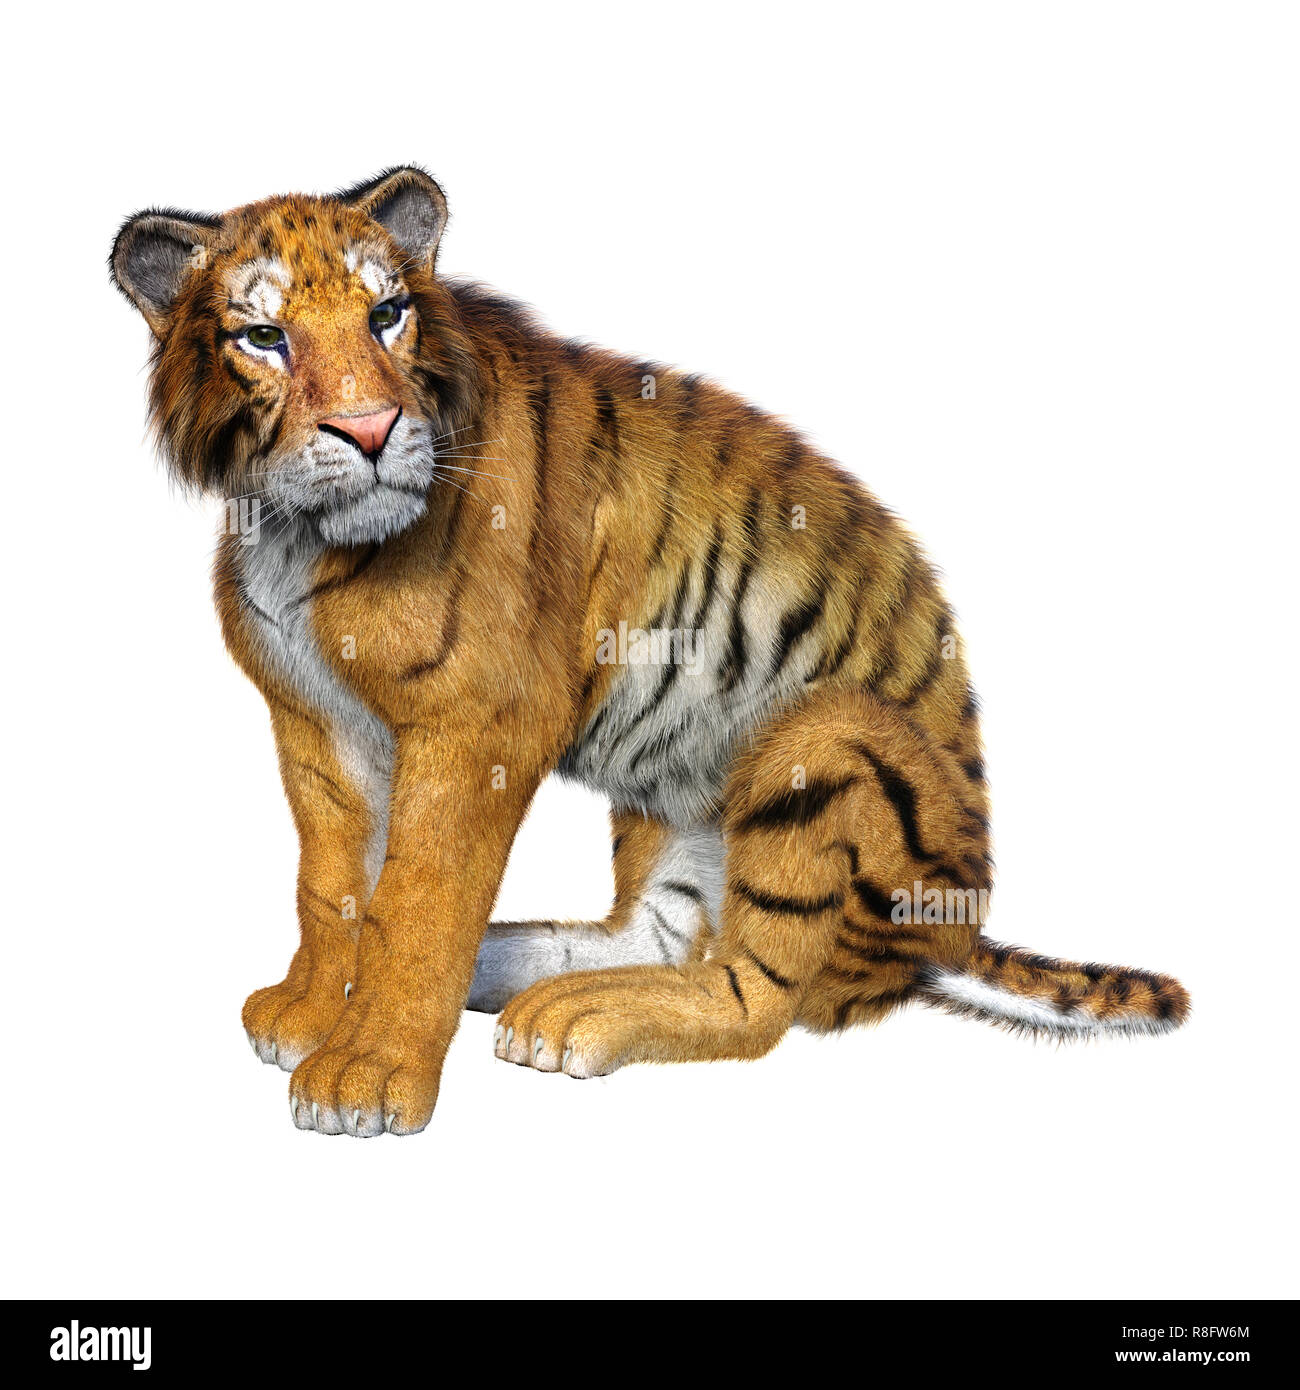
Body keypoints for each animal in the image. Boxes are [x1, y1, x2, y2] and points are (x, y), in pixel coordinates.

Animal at [111, 166, 1190, 1137]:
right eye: (265, 337)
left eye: (386, 316)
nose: (370, 430)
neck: (297, 531)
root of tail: (957, 926)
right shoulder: (316, 722)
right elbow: (333, 883)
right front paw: (308, 1010)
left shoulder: (479, 727)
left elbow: (417, 903)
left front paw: (366, 1075)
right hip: (670, 792)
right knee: (669, 937)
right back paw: (526, 979)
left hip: (824, 737)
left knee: (757, 997)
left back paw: (569, 1014)